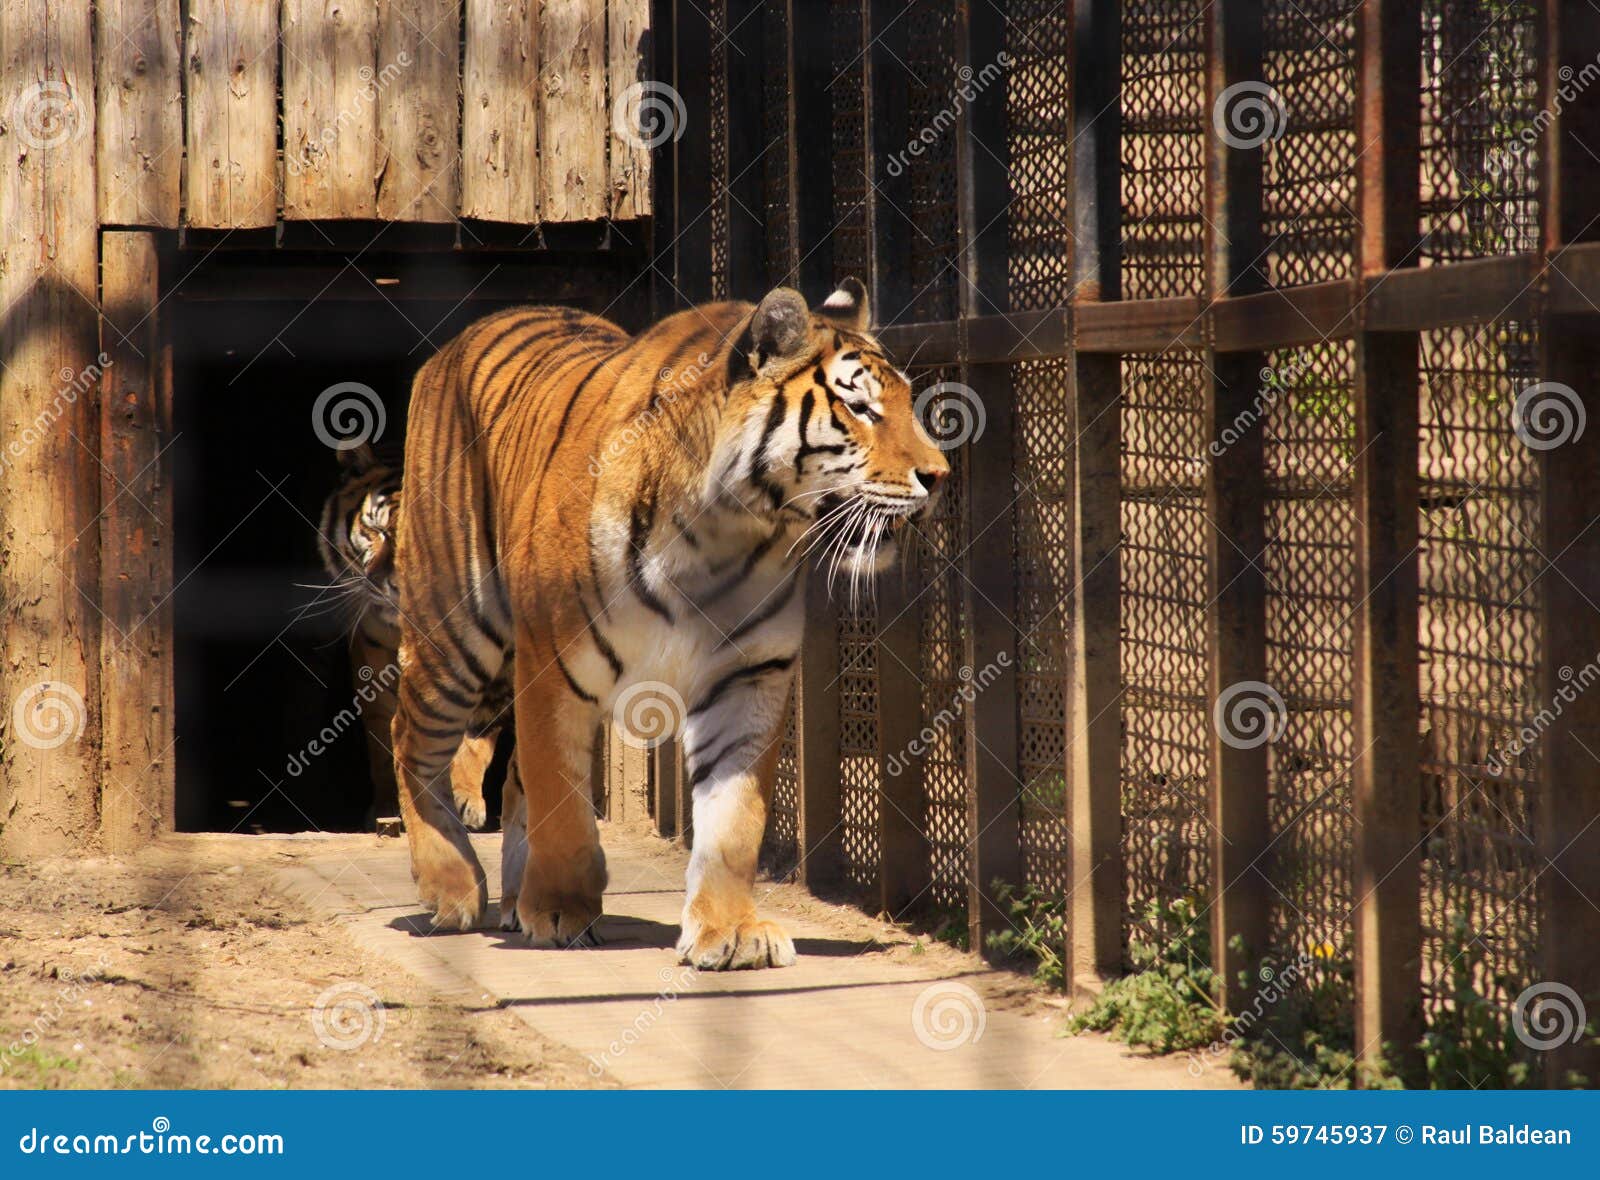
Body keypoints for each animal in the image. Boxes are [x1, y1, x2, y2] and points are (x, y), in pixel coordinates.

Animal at [315, 444, 499, 830]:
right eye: (377, 530)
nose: (399, 585)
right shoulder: (372, 652)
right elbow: (384, 736)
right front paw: (388, 808)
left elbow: (475, 731)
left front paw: (463, 798)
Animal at [391, 278, 949, 969]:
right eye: (861, 408)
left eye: (905, 403)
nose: (940, 476)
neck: (726, 533)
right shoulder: (553, 663)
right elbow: (561, 799)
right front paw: (560, 909)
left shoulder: (749, 674)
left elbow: (735, 819)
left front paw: (731, 930)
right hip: (453, 629)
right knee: (413, 741)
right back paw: (452, 888)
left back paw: (514, 897)